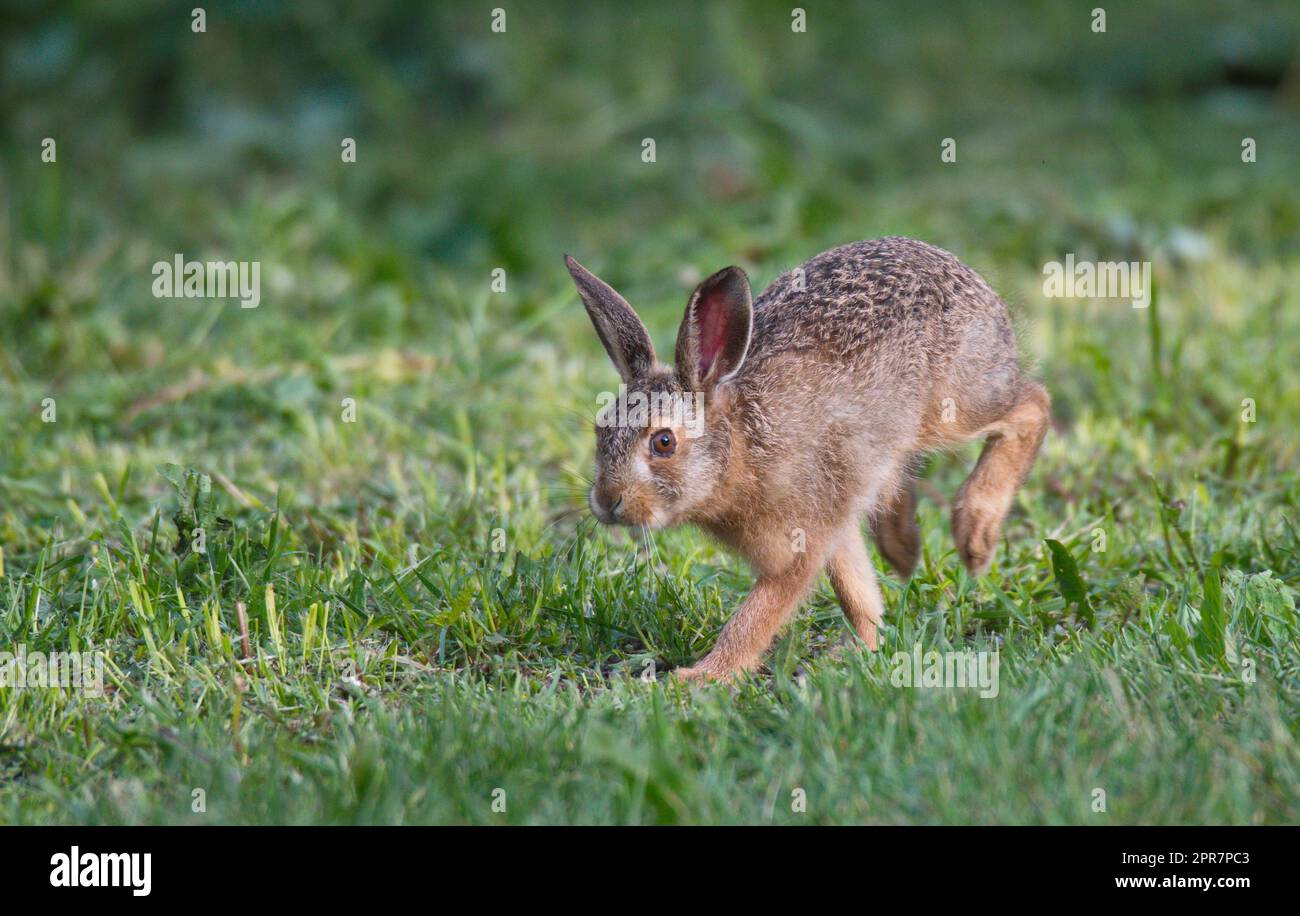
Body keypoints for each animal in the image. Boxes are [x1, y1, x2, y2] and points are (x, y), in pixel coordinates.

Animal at [565, 237, 1049, 681]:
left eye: (663, 442)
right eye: (601, 429)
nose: (607, 501)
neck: (740, 449)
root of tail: (978, 287)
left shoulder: (804, 539)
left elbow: (756, 616)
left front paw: (704, 677)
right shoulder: (835, 517)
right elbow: (856, 590)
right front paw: (864, 650)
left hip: (956, 404)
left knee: (1033, 404)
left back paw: (975, 535)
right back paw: (903, 550)